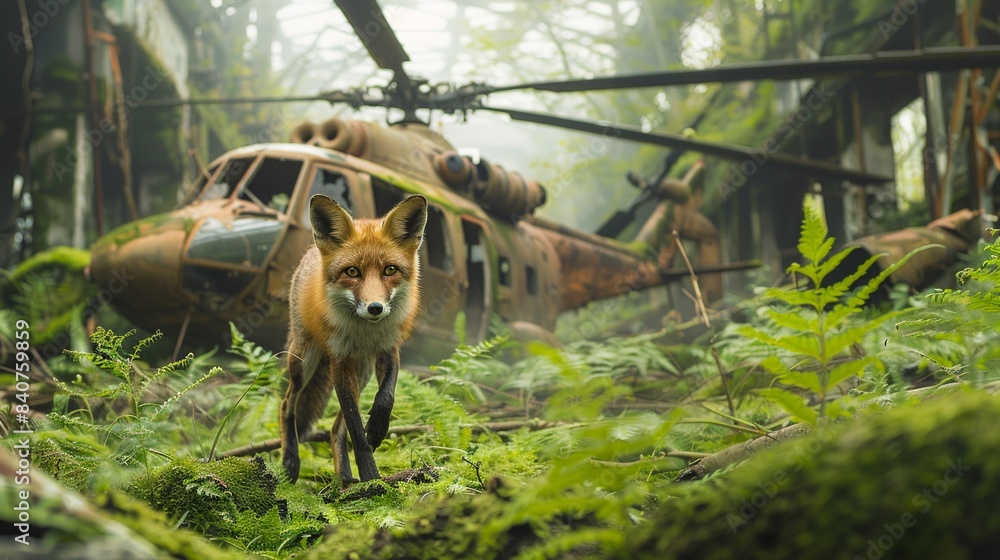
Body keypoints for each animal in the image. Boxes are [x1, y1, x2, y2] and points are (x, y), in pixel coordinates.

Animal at [280, 193, 427, 484]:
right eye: (352, 272)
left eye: (389, 270)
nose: (375, 308)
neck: (365, 333)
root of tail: (310, 252)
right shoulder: (339, 361)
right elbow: (356, 429)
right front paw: (371, 476)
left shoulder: (388, 350)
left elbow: (385, 398)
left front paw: (378, 429)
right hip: (304, 362)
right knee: (287, 403)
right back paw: (290, 460)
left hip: (363, 372)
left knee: (335, 430)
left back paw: (345, 481)